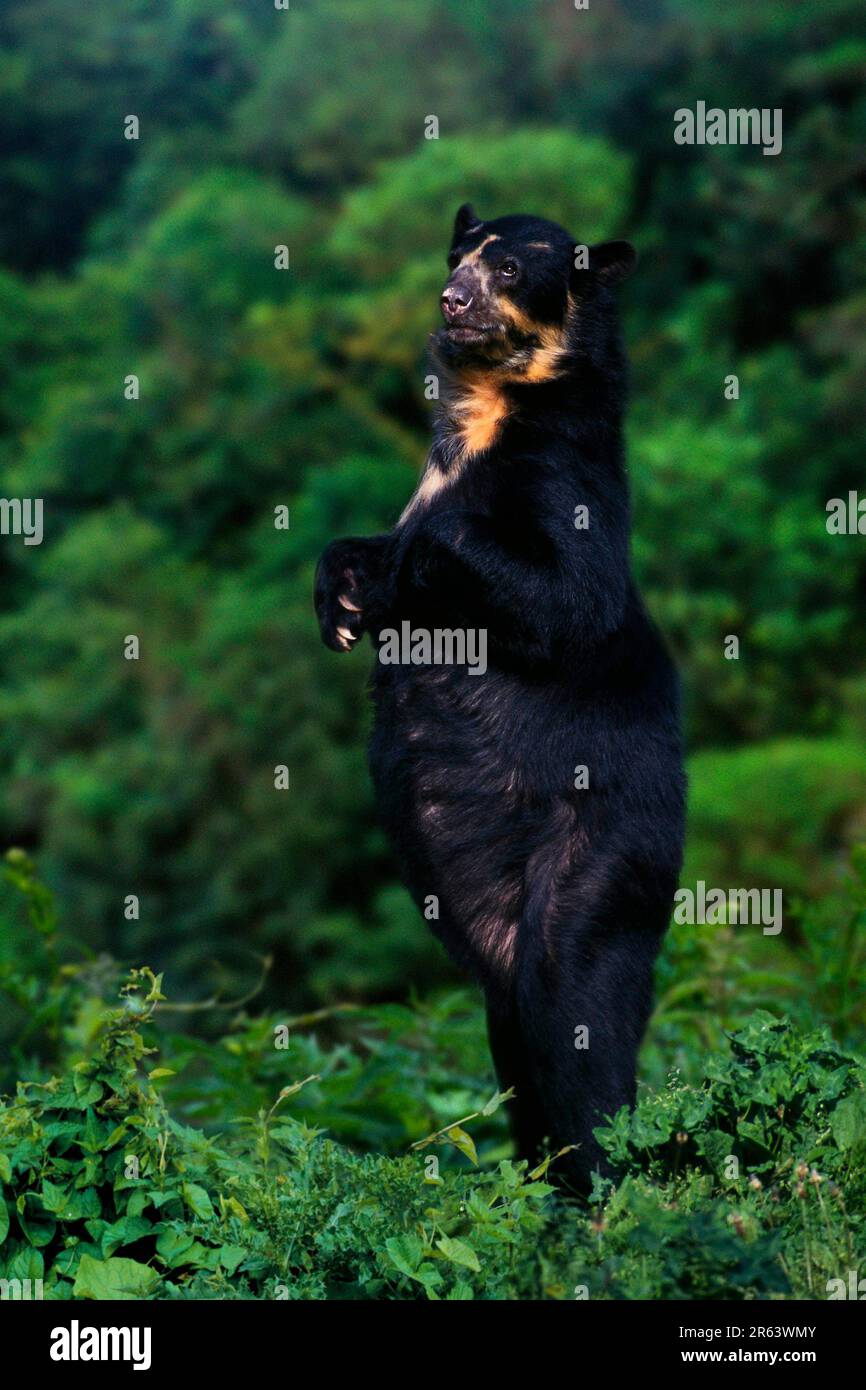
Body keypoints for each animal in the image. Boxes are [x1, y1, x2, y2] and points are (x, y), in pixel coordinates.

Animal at [314, 204, 686, 1191]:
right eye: (457, 256)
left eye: (511, 269)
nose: (450, 299)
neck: (489, 411)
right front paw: (340, 602)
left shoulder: (568, 484)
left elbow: (560, 592)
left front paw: (411, 564)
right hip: (492, 930)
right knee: (516, 1030)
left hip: (600, 851)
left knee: (575, 1007)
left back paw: (605, 1186)